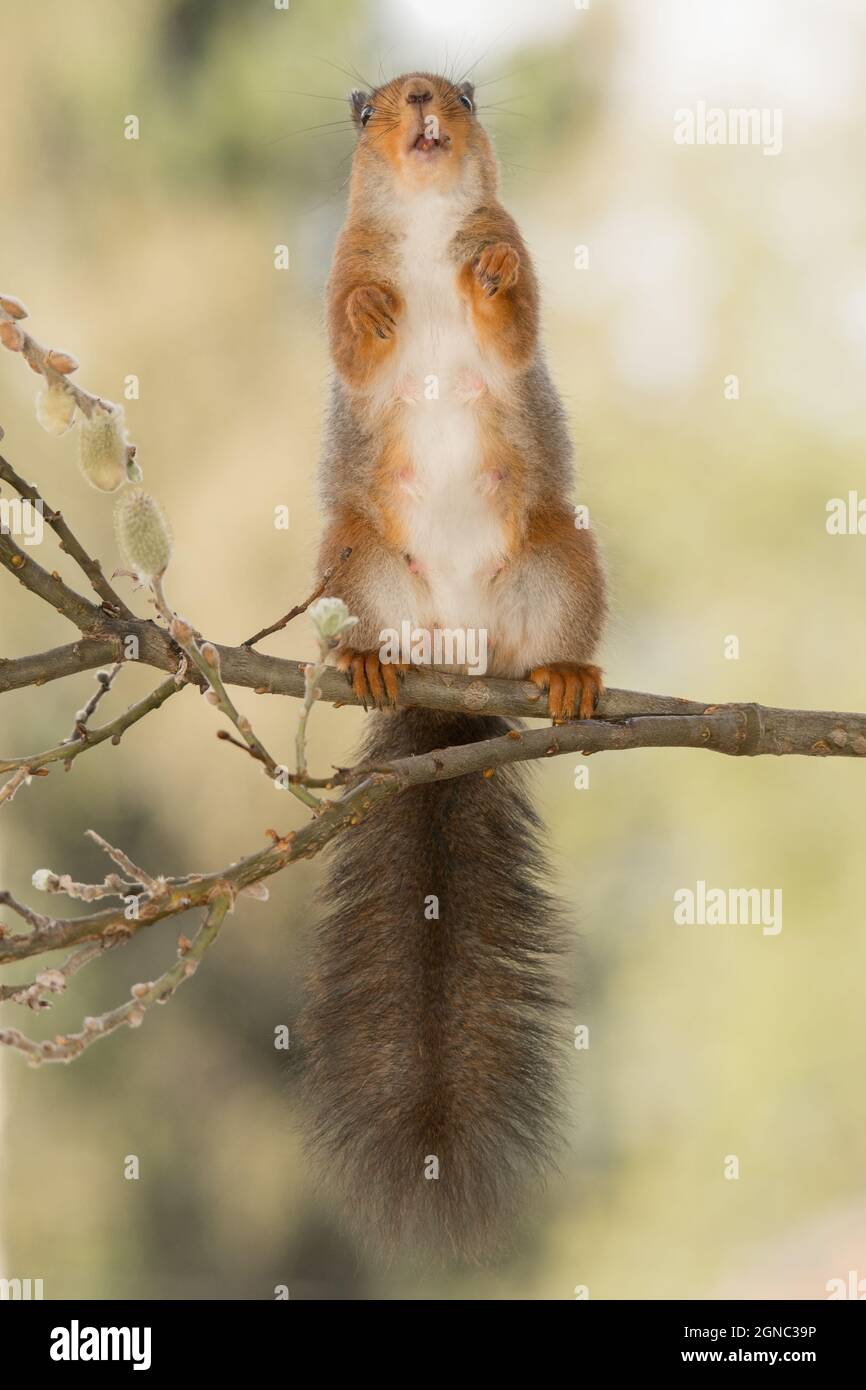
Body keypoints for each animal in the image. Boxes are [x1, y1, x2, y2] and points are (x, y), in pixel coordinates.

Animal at [297, 72, 607, 1261]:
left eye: (466, 92)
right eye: (367, 103)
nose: (426, 94)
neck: (429, 226)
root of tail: (458, 670)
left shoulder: (509, 248)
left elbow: (514, 327)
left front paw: (492, 279)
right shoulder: (343, 263)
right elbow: (351, 345)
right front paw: (376, 321)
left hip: (560, 560)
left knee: (555, 631)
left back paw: (566, 678)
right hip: (356, 560)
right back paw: (368, 657)